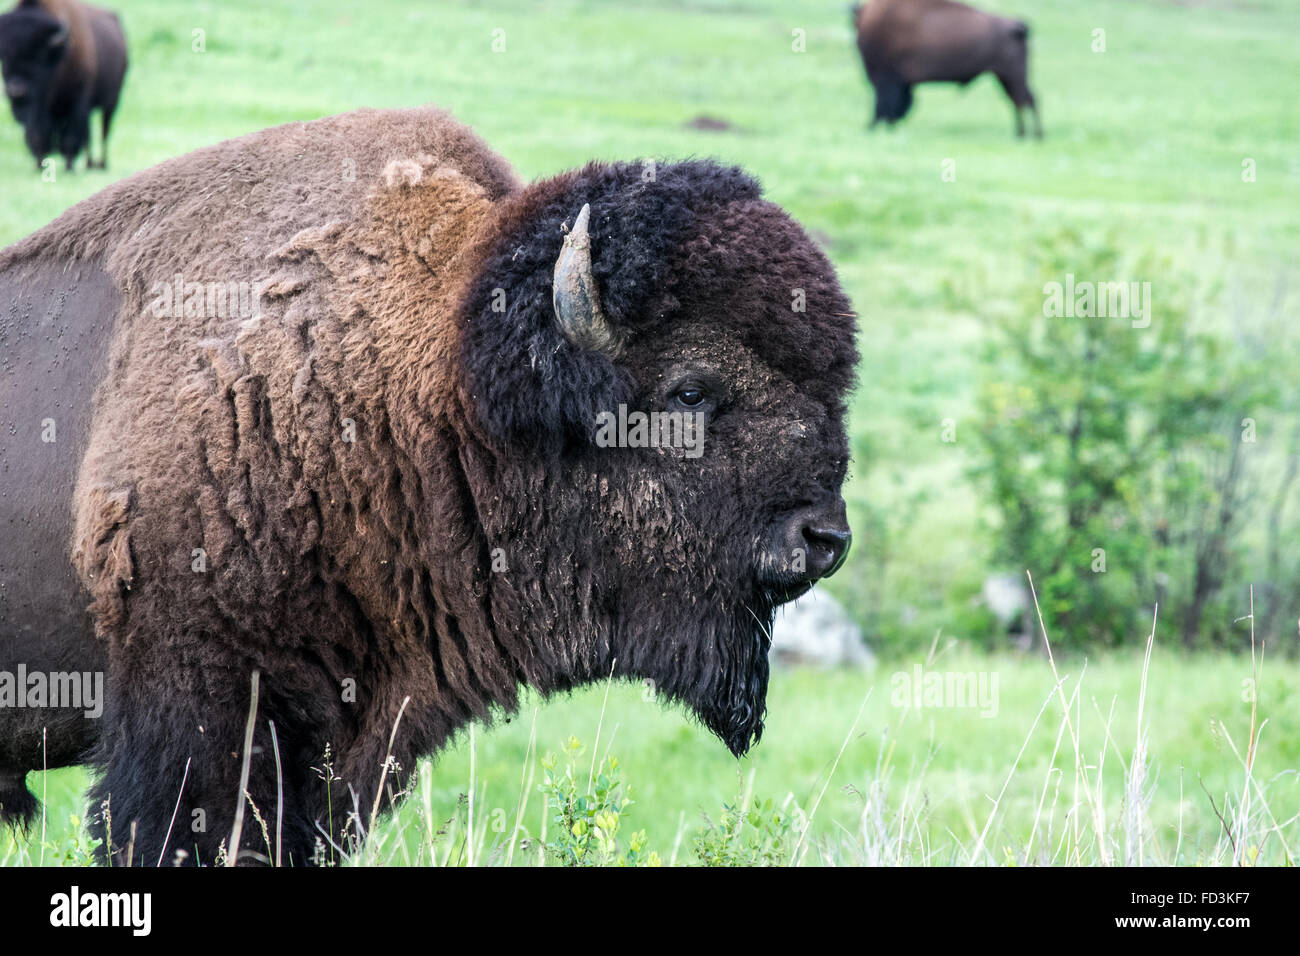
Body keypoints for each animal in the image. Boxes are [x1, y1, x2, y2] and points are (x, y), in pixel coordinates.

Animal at [0, 0, 127, 171]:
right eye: (4, 56)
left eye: (39, 57)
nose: (16, 89)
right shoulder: (36, 112)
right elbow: (37, 135)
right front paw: (39, 165)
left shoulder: (77, 101)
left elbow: (70, 137)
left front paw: (69, 167)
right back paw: (89, 164)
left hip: (111, 103)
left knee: (103, 132)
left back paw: (101, 164)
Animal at [852, 0, 1041, 137]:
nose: (895, 123)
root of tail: (1017, 26)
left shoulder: (884, 76)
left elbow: (881, 104)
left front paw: (870, 127)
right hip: (1005, 77)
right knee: (1021, 100)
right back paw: (1023, 135)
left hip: (1012, 75)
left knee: (1025, 99)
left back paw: (1034, 135)